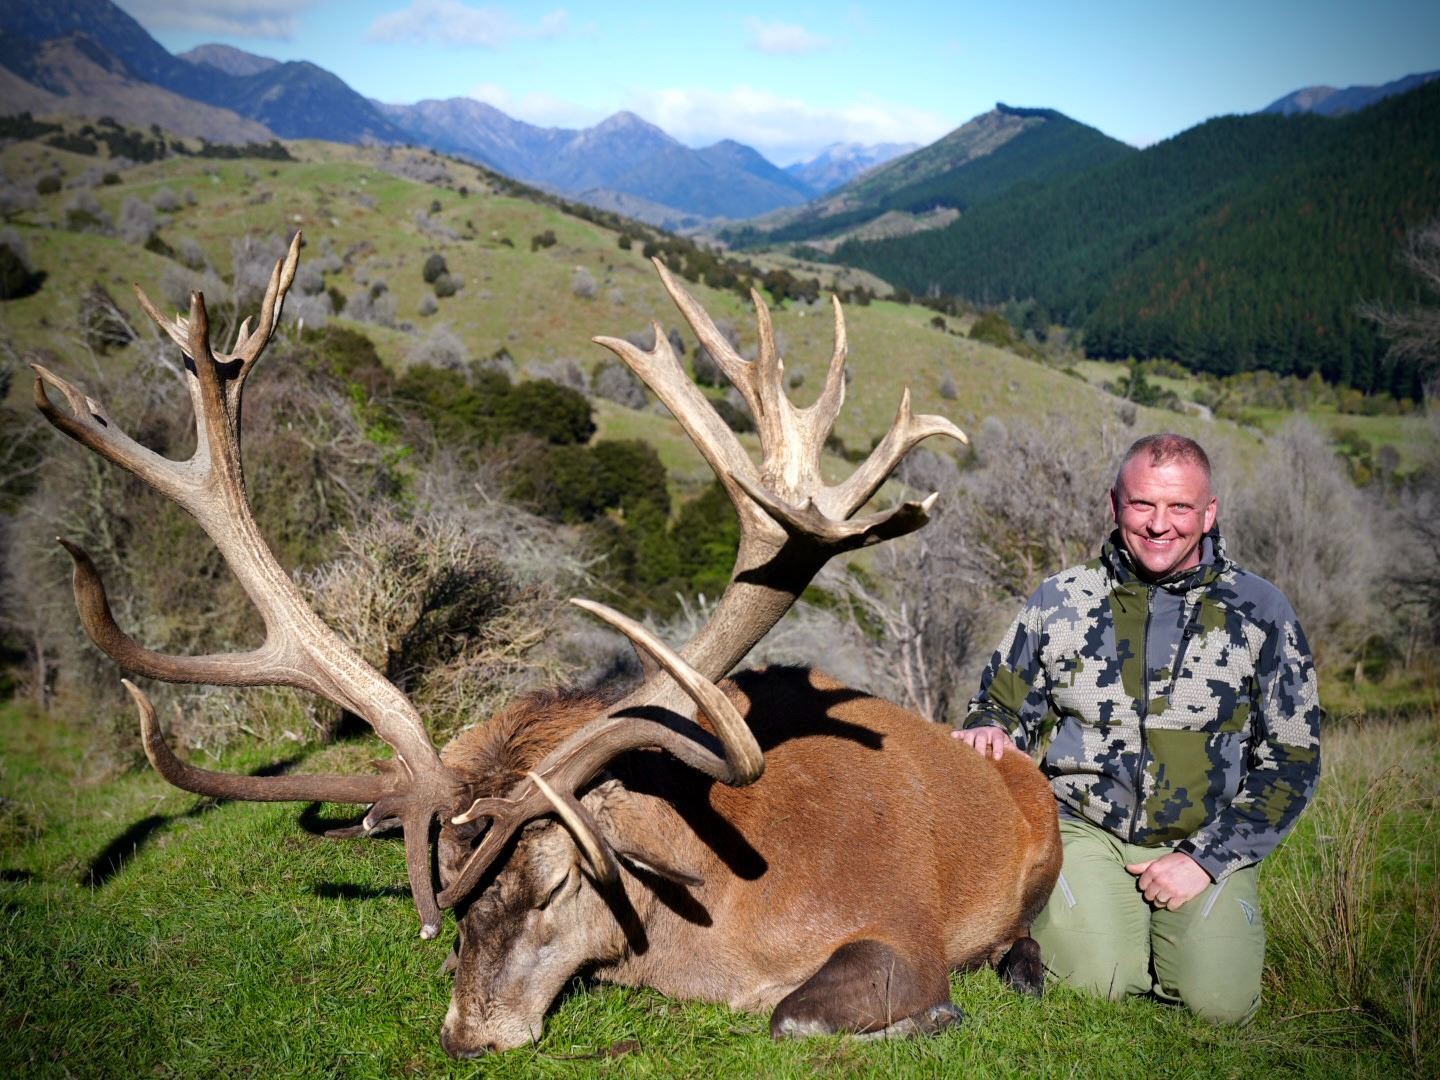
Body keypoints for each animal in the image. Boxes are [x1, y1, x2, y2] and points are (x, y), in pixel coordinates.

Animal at [32, 233, 1062, 1057]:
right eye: (445, 887)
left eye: (560, 877)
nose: (469, 1033)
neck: (711, 916)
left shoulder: (897, 927)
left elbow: (795, 1012)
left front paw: (933, 1014)